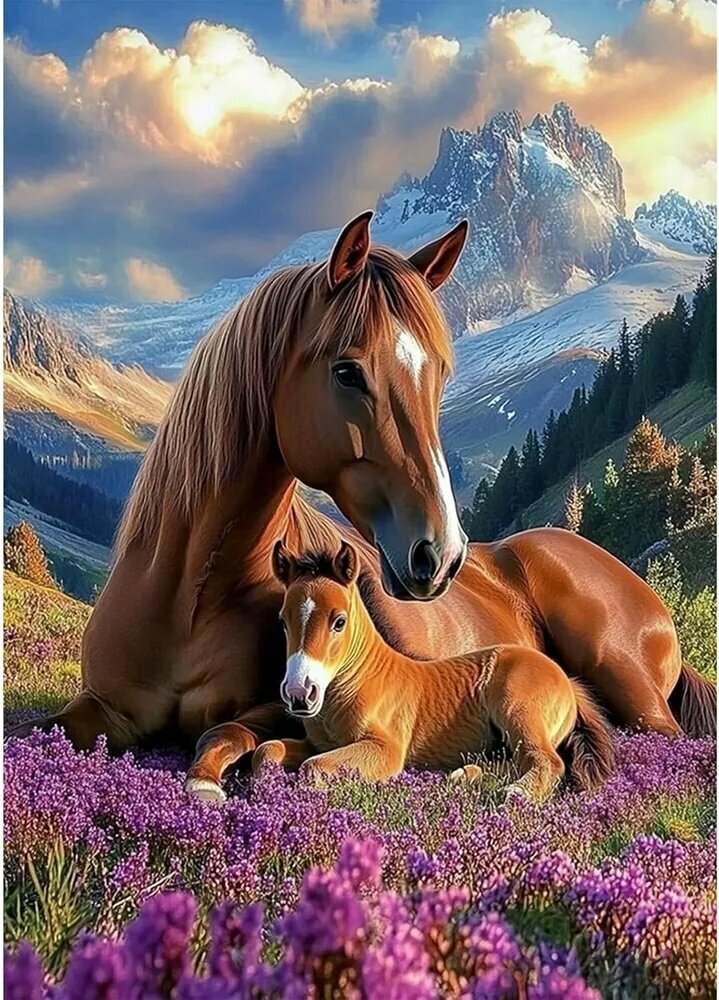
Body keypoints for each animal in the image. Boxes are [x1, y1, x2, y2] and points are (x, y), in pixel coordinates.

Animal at [251, 539, 616, 803]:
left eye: (338, 621)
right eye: (282, 621)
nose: (300, 693)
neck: (361, 680)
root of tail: (567, 681)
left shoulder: (386, 750)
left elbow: (312, 769)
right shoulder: (316, 744)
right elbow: (266, 752)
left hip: (519, 710)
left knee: (546, 760)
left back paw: (517, 793)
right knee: (511, 761)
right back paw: (462, 776)